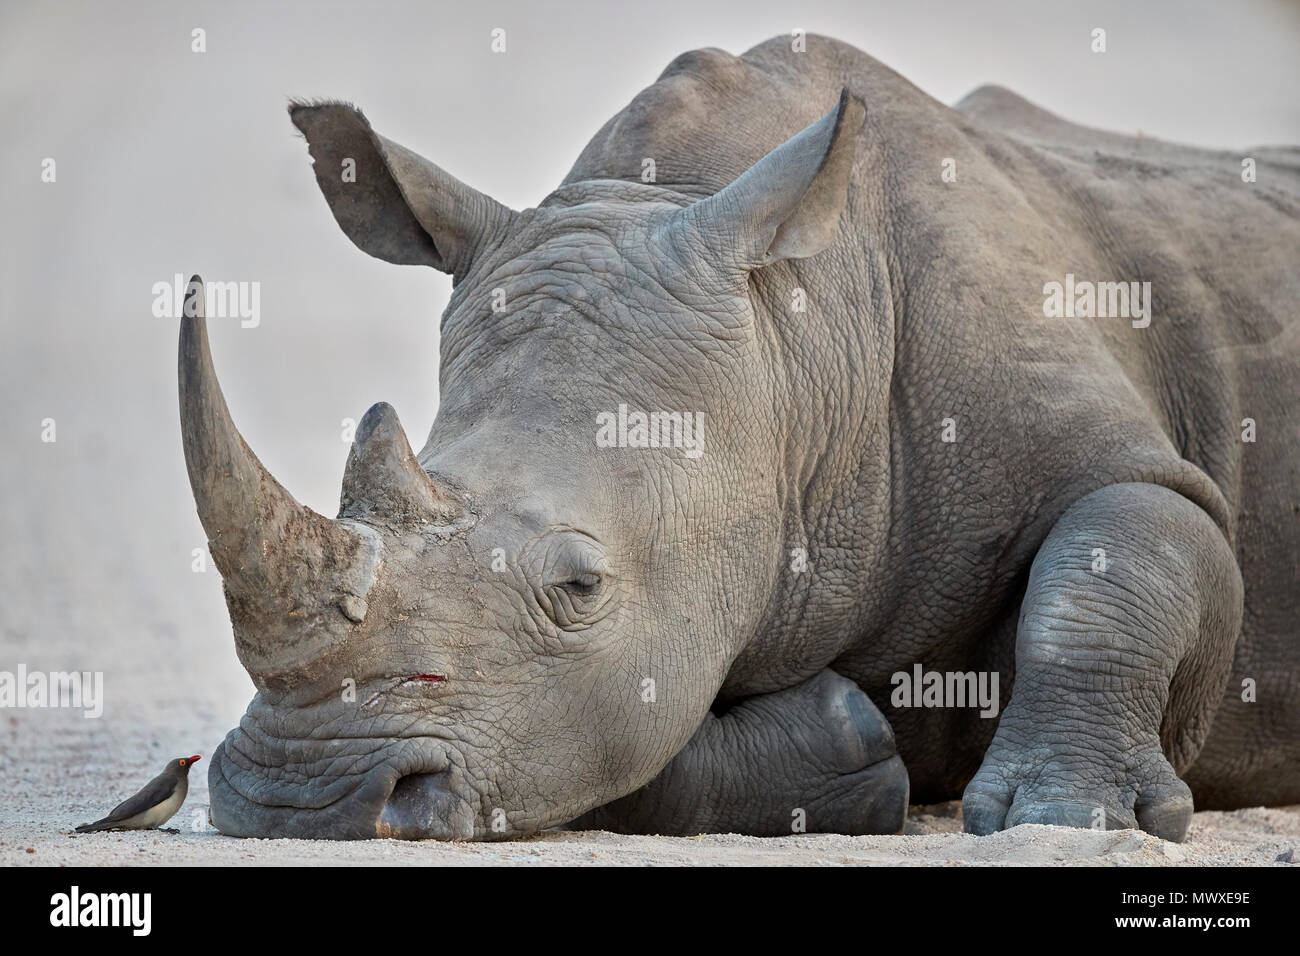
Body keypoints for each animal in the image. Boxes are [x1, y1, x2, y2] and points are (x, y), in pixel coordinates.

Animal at [182, 34, 1300, 842]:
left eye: (580, 584)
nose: (301, 795)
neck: (799, 348)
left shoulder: (1112, 446)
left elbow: (1121, 553)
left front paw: (1063, 816)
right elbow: (624, 740)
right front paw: (849, 747)